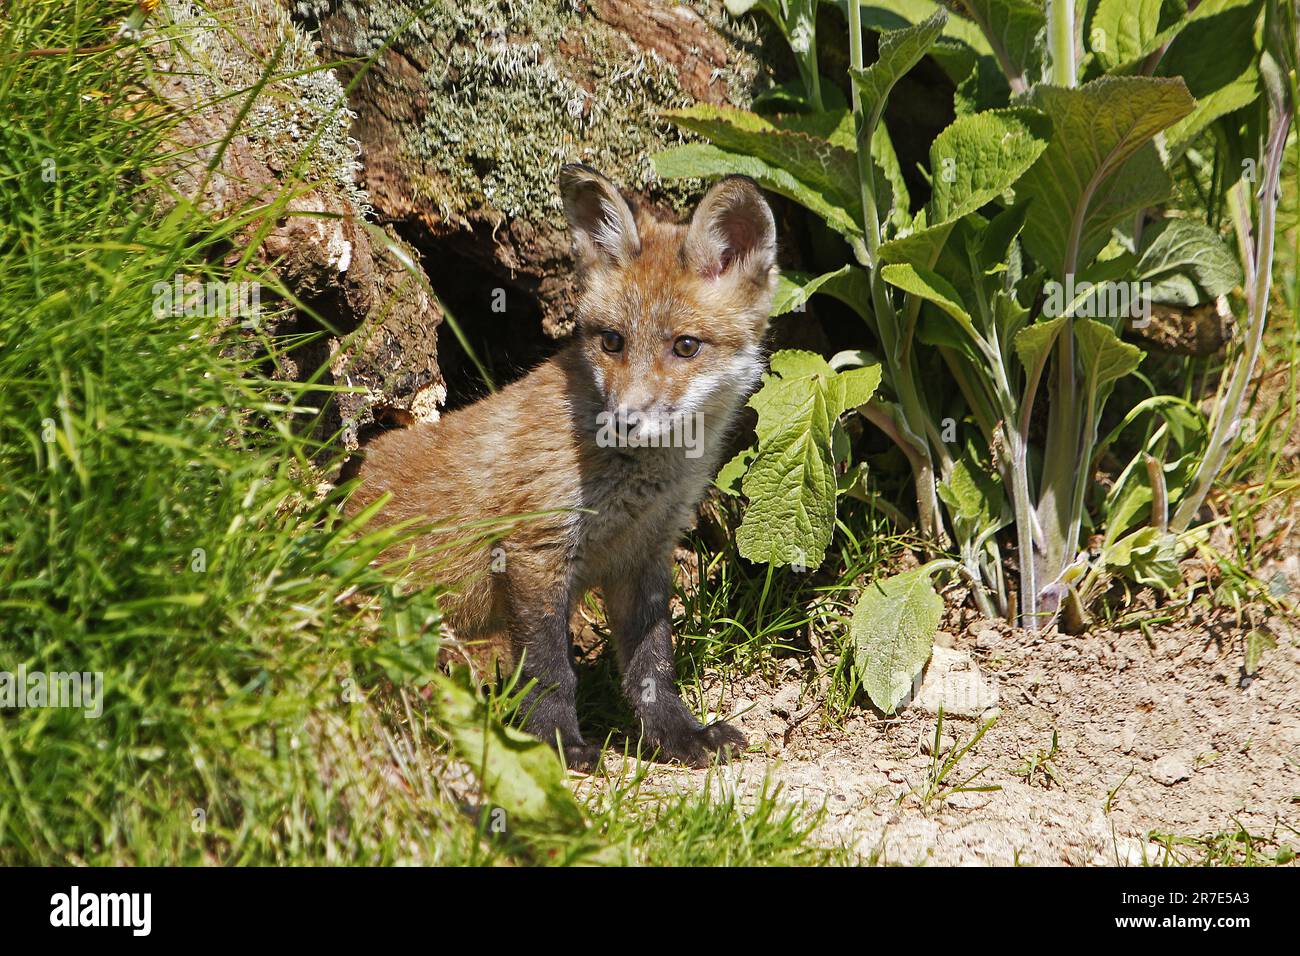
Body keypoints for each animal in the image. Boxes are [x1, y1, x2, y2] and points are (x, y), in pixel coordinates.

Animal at [347, 165, 778, 769]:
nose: (624, 420)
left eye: (686, 346)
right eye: (612, 341)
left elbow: (653, 668)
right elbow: (551, 670)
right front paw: (558, 744)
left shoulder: (645, 553)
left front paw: (677, 736)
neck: (641, 485)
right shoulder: (533, 547)